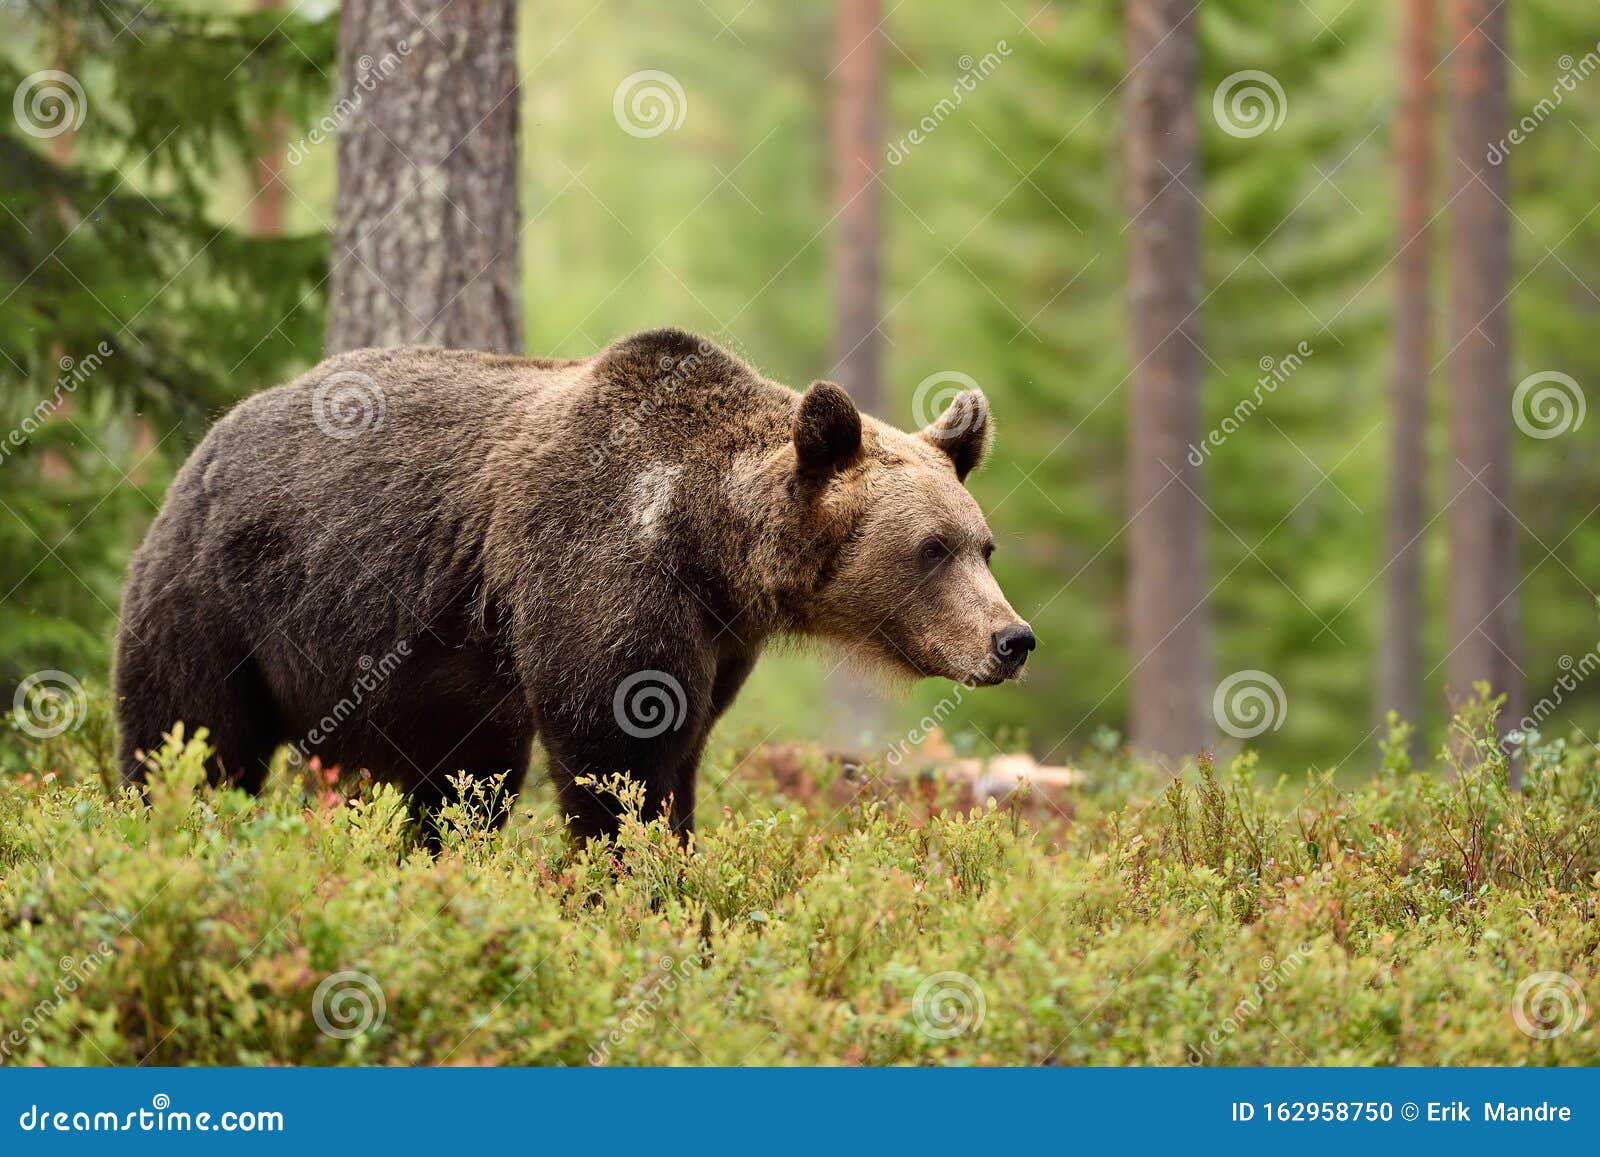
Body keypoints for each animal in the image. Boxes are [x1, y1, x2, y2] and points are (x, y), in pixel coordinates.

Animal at [114, 328, 1035, 840]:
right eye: (931, 548)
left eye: (984, 546)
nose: (1012, 639)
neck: (706, 544)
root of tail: (210, 435)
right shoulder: (599, 569)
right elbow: (614, 757)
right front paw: (624, 877)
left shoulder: (717, 638)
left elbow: (678, 761)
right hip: (216, 593)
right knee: (190, 731)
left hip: (427, 675)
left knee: (453, 782)